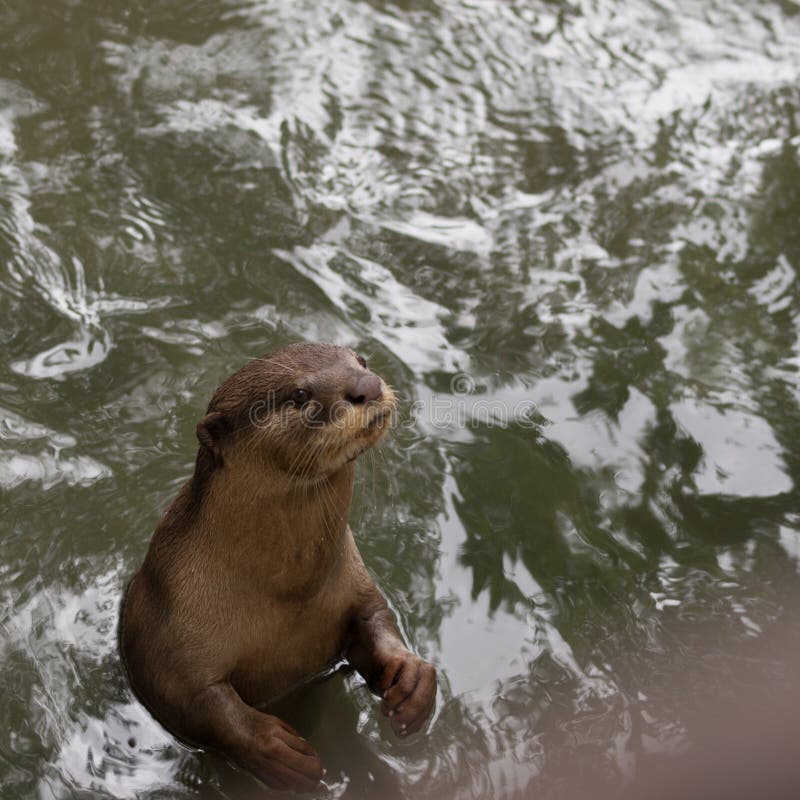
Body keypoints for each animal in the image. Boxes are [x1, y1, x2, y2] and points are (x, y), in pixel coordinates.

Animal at [120, 342, 436, 792]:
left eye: (360, 360)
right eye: (299, 394)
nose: (367, 385)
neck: (288, 596)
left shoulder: (354, 581)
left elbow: (375, 617)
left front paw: (411, 679)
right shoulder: (168, 629)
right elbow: (195, 701)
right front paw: (273, 749)